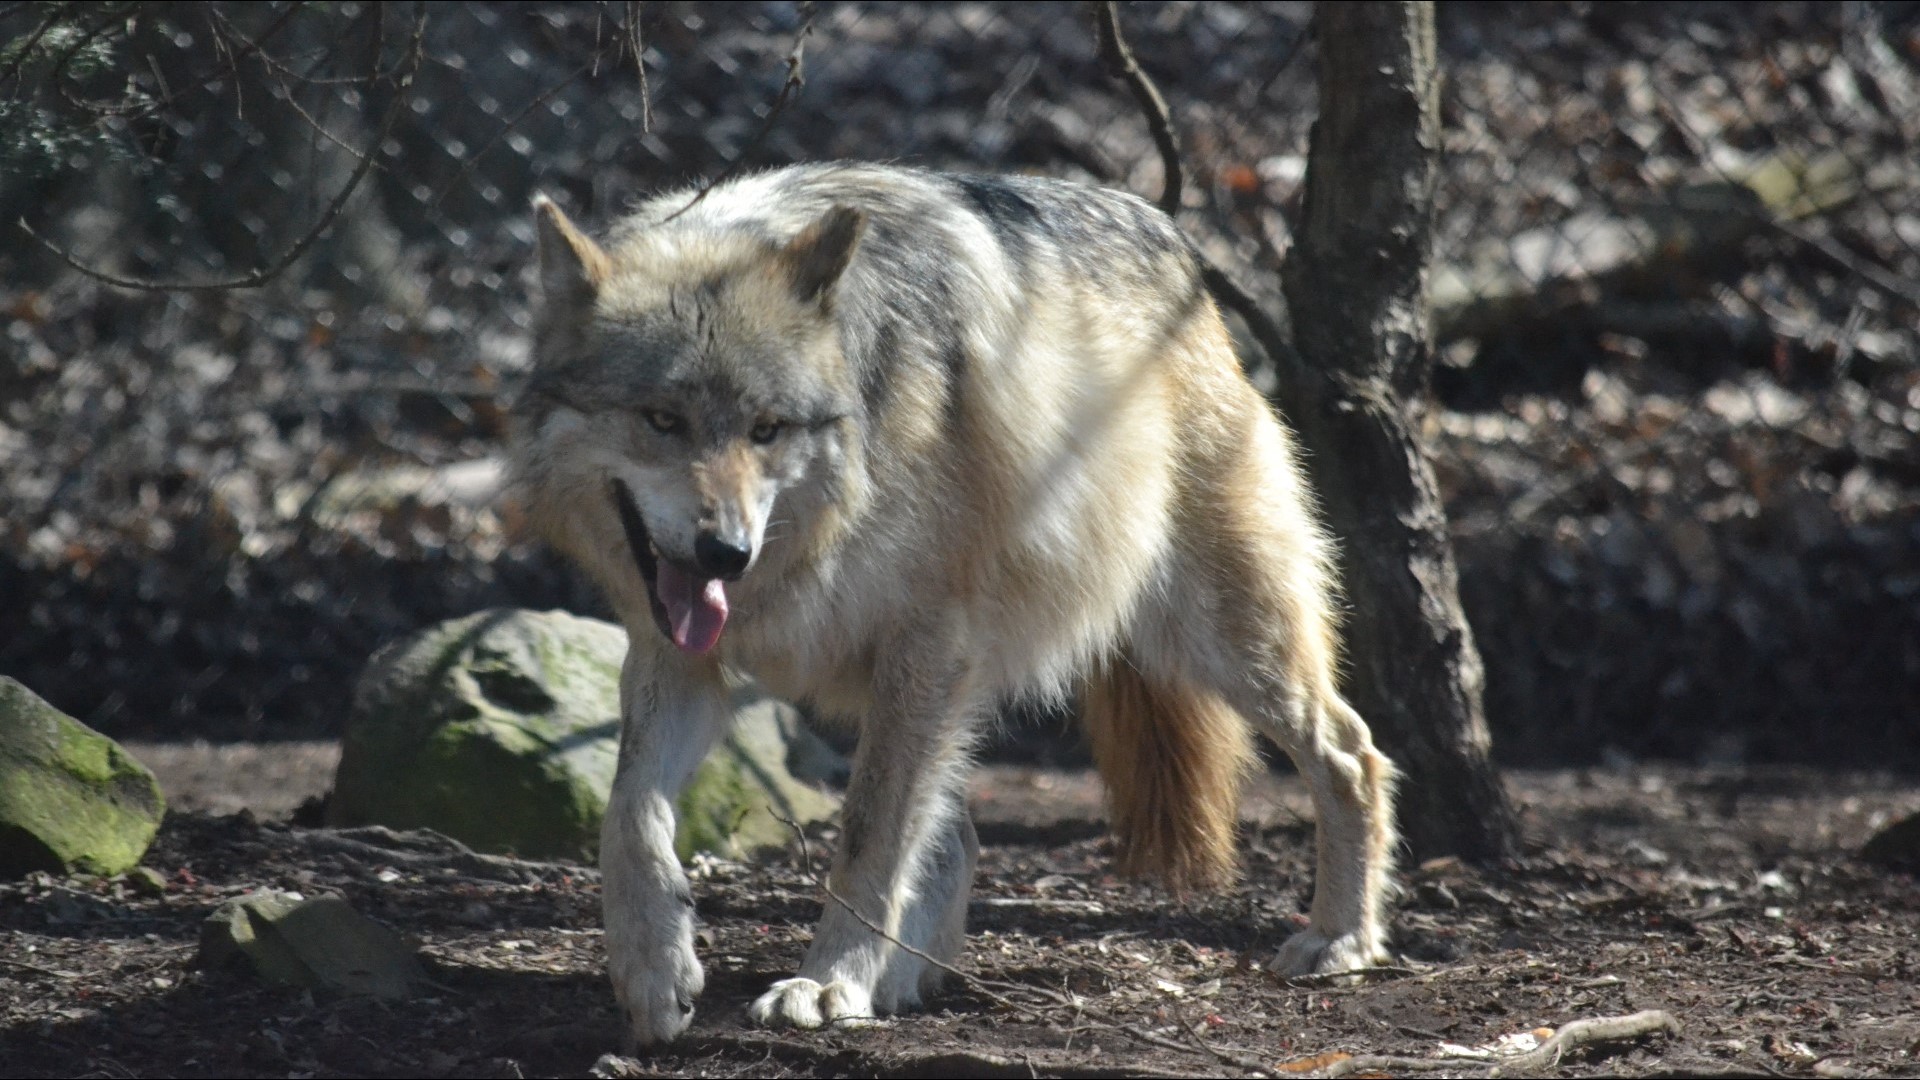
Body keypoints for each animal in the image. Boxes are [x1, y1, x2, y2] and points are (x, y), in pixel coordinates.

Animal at [508, 163, 1398, 1046]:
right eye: (662, 420)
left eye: (767, 429)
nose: (726, 552)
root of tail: (1176, 247)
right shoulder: (678, 653)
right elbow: (629, 812)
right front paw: (653, 966)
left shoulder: (926, 644)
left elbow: (867, 836)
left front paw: (829, 983)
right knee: (958, 833)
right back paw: (904, 978)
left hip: (1215, 640)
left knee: (1350, 752)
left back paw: (1341, 939)